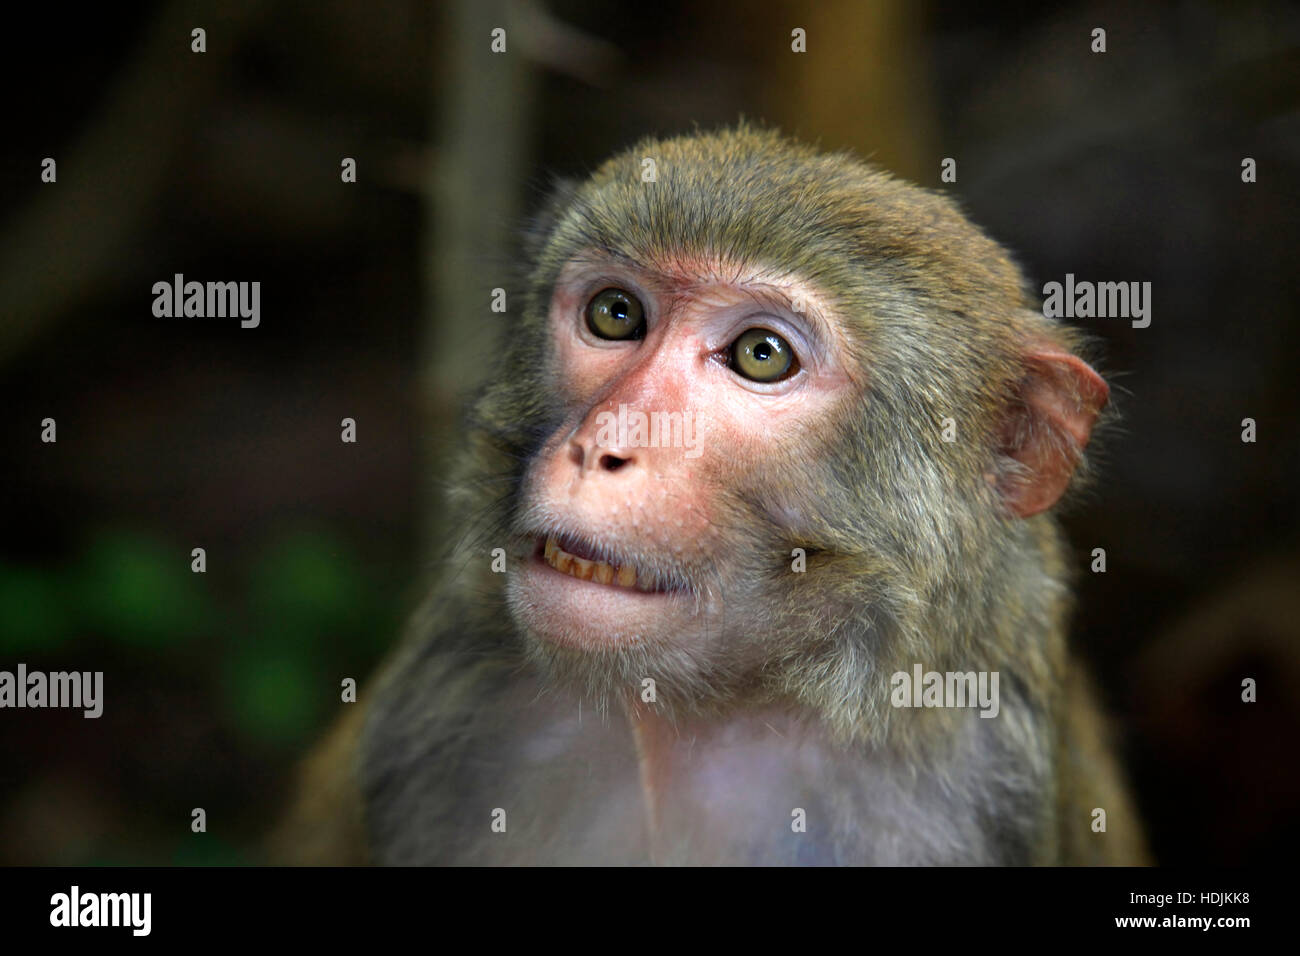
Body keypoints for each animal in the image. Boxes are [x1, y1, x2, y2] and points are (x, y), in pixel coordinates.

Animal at [272, 124, 1148, 865]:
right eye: (615, 313)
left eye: (761, 355)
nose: (604, 445)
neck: (689, 718)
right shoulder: (440, 717)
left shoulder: (963, 800)